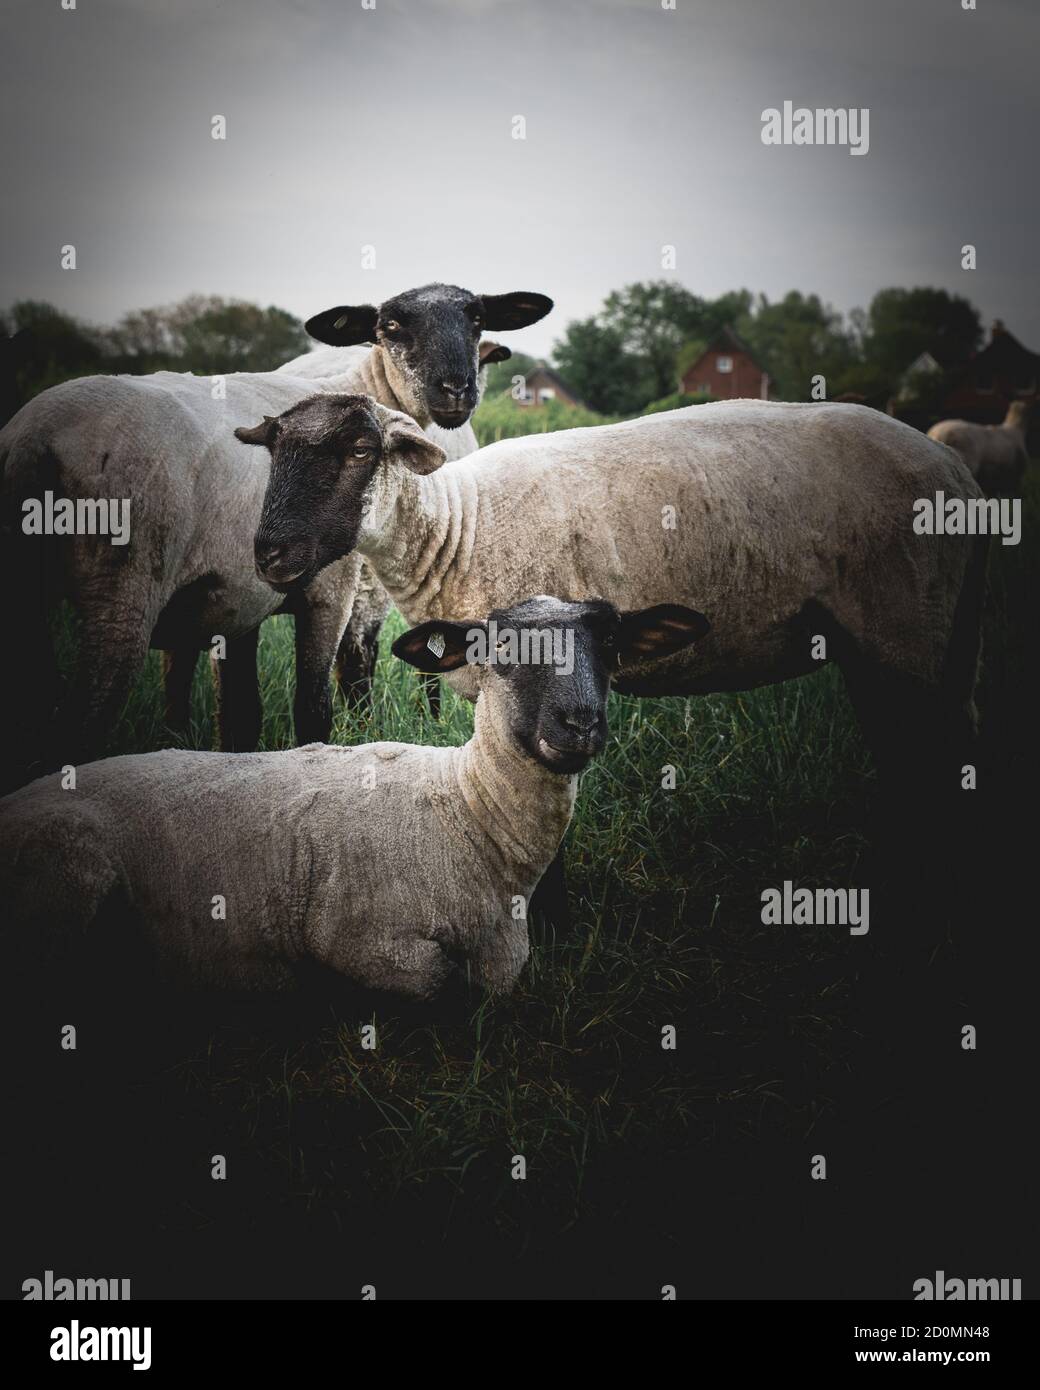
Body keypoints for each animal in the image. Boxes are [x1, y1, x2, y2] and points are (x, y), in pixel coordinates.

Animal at [0, 285, 551, 789]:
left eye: (477, 319)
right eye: (391, 326)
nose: (455, 391)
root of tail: (33, 440)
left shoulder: (237, 605)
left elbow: (239, 718)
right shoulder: (330, 589)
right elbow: (314, 707)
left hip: (31, 605)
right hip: (122, 593)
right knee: (79, 728)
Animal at [0, 596, 707, 998]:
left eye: (610, 642)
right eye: (500, 646)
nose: (580, 723)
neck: (468, 812)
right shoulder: (354, 936)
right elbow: (435, 981)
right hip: (68, 871)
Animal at [246, 392, 988, 797]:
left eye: (359, 451)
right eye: (273, 451)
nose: (267, 554)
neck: (455, 525)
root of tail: (959, 474)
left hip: (904, 635)